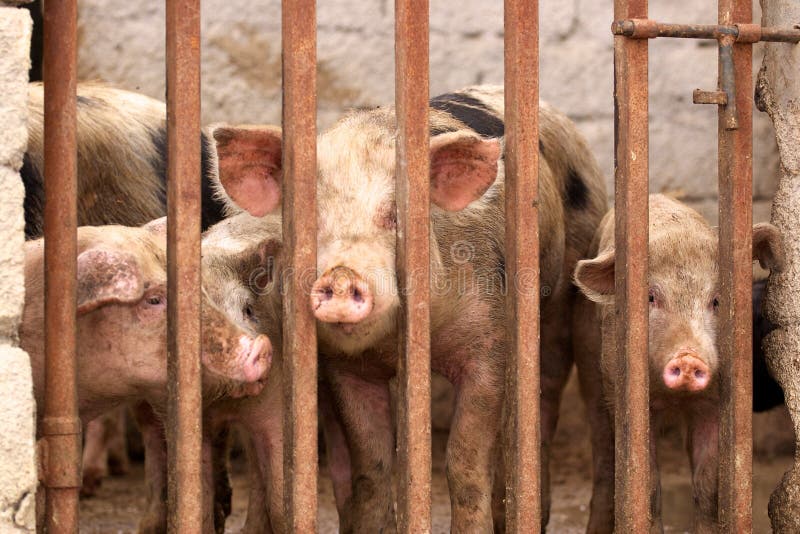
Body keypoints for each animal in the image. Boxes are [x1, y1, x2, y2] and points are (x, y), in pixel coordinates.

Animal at [207, 85, 610, 531]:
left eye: (396, 216)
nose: (342, 276)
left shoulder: (489, 341)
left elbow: (464, 460)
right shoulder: (344, 365)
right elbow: (373, 464)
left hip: (562, 297)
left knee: (545, 400)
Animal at [573, 194, 784, 533]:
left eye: (716, 300)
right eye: (650, 297)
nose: (688, 358)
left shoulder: (714, 401)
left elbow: (708, 487)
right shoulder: (624, 393)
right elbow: (645, 485)